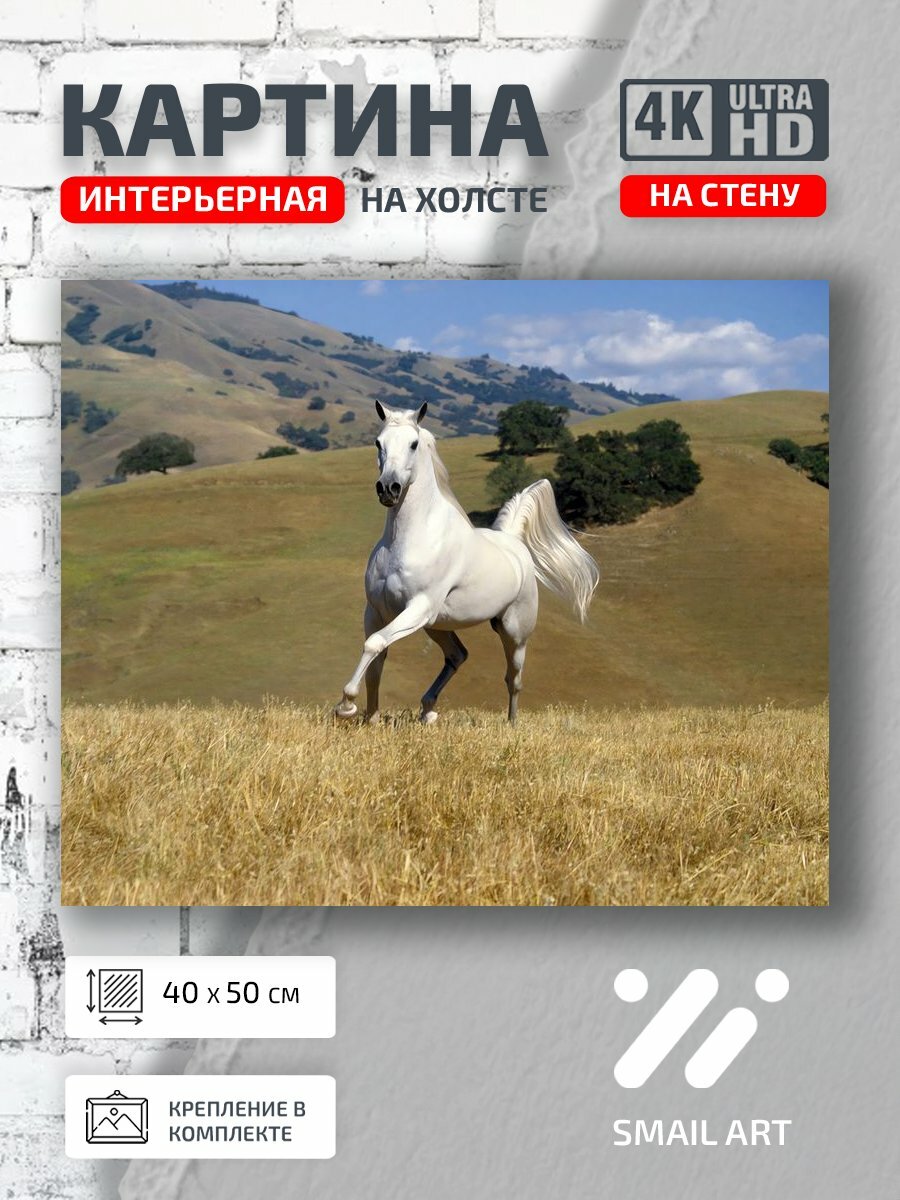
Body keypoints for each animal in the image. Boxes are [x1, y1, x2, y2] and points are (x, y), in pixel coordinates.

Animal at [334, 400, 600, 724]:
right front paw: (370, 719)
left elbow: (374, 644)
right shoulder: (377, 611)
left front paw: (346, 706)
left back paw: (511, 724)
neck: (407, 539)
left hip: (513, 632)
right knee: (458, 655)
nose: (388, 488)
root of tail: (512, 542)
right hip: (436, 625)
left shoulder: (418, 607)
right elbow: (376, 659)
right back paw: (428, 710)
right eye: (378, 442)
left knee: (513, 679)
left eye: (413, 444)